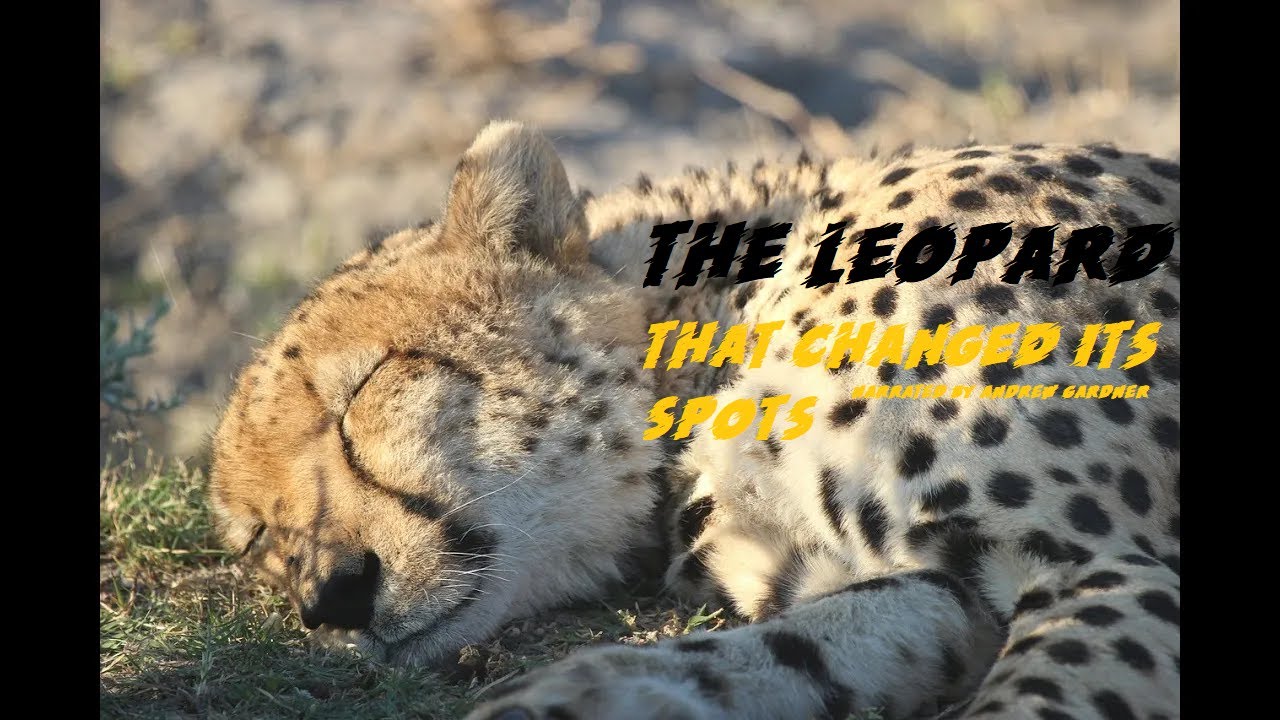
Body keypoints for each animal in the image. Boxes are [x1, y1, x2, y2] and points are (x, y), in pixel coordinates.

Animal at [209, 120, 1180, 720]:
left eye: (363, 391)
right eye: (261, 538)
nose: (332, 597)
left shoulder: (1110, 565)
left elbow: (1037, 693)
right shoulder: (948, 590)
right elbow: (793, 648)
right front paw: (585, 695)